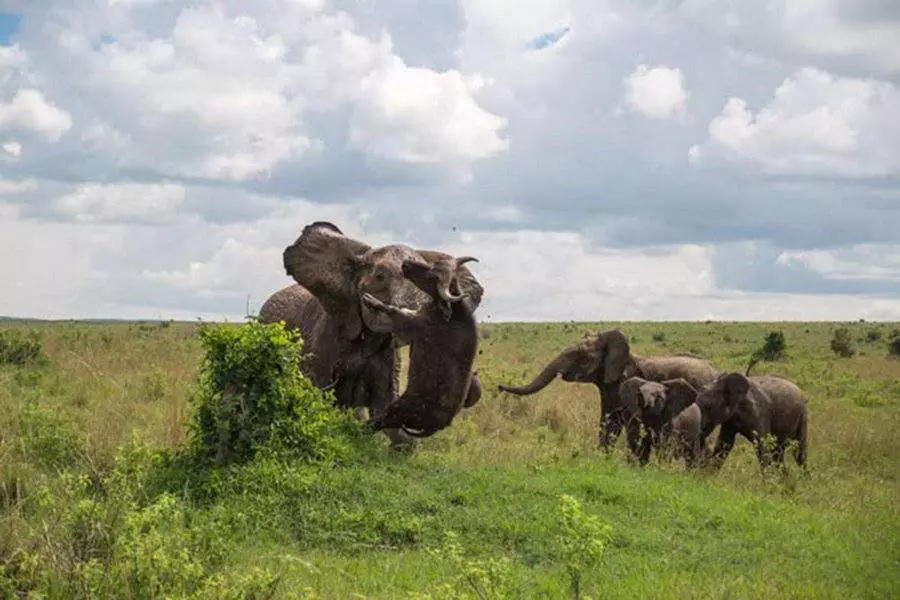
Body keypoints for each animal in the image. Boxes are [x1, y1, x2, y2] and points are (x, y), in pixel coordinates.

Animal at [362, 253, 482, 436]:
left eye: (432, 276)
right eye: (431, 263)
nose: (406, 264)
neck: (452, 314)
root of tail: (439, 425)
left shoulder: (413, 322)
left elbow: (392, 310)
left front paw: (370, 299)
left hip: (397, 410)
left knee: (378, 422)